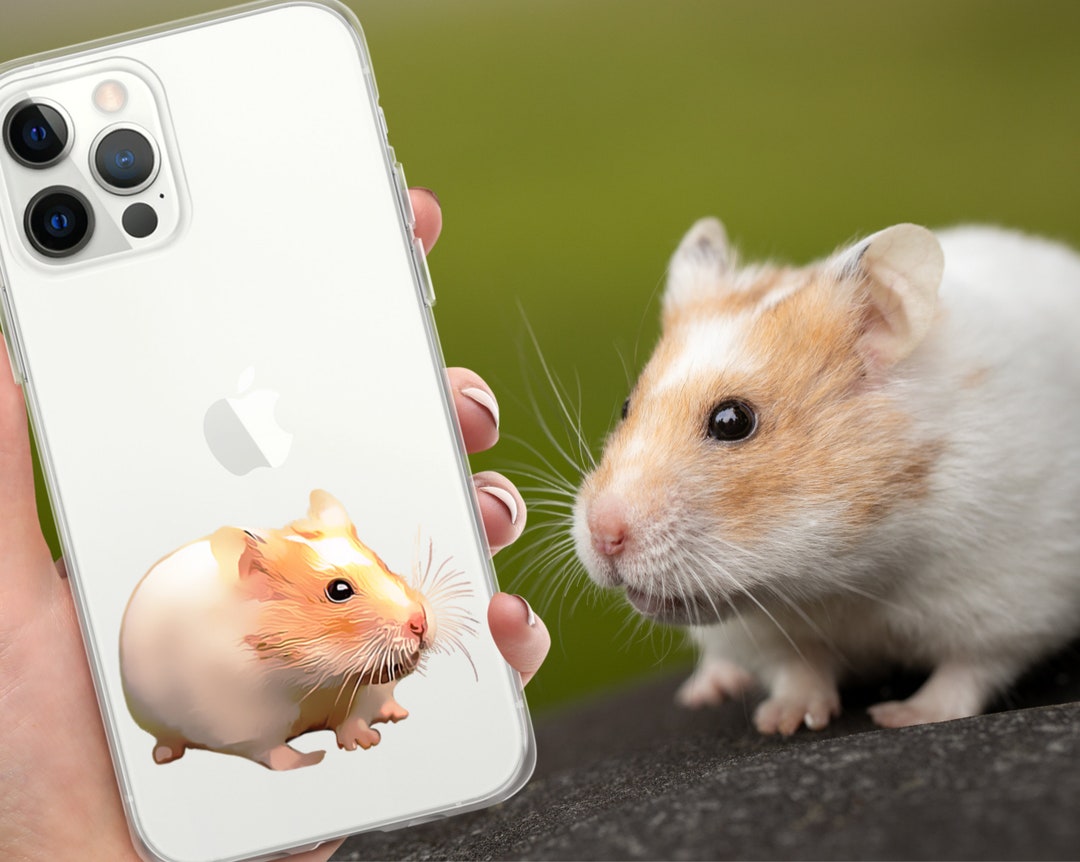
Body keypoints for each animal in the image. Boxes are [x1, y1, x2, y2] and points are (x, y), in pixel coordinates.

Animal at [120, 490, 437, 770]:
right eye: (339, 590)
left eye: (384, 565)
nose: (419, 623)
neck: (315, 682)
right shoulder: (245, 723)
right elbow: (272, 751)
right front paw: (314, 758)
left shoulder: (361, 695)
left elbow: (354, 718)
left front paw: (366, 742)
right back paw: (163, 756)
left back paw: (396, 712)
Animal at [574, 218, 1080, 735]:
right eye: (626, 407)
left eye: (732, 421)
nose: (602, 535)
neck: (847, 578)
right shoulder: (762, 631)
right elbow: (798, 667)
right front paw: (783, 721)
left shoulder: (1013, 594)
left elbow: (967, 670)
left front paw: (901, 717)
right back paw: (709, 688)